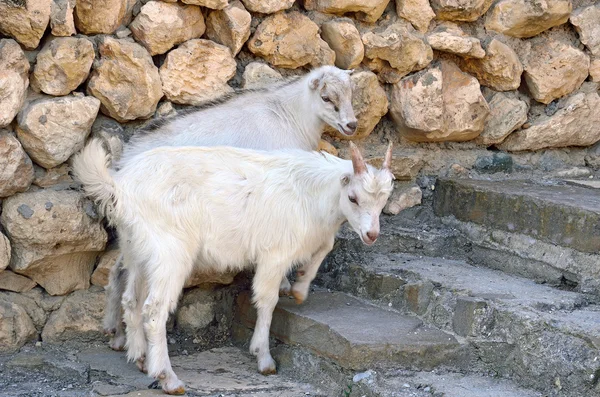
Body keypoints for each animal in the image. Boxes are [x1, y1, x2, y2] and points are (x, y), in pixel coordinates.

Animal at [72, 138, 394, 392]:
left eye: (384, 200)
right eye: (353, 198)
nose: (371, 235)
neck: (310, 191)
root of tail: (119, 186)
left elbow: (325, 247)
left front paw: (301, 287)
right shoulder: (274, 254)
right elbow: (267, 300)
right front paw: (263, 357)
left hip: (138, 250)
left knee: (131, 298)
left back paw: (138, 356)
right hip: (170, 253)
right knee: (153, 310)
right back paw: (167, 377)